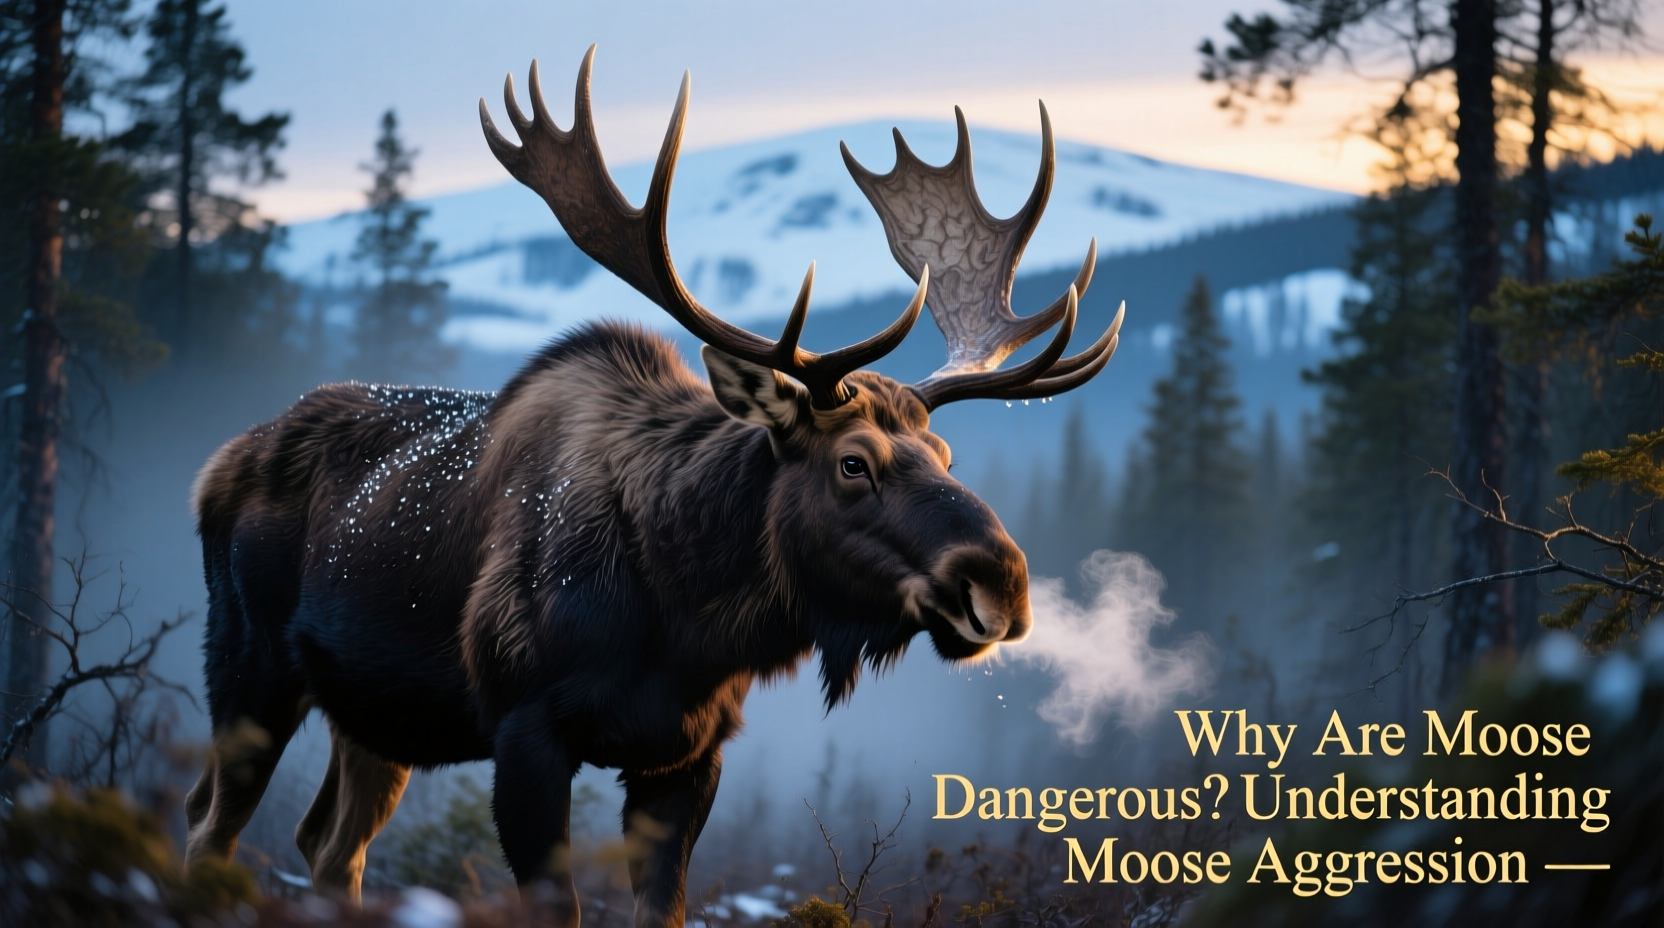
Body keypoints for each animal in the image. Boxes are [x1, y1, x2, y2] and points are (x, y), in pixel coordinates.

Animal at [181, 46, 1122, 927]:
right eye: (853, 461)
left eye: (947, 455)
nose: (1001, 582)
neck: (685, 618)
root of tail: (217, 465)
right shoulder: (526, 725)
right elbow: (553, 902)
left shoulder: (689, 752)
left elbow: (662, 907)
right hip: (250, 664)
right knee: (209, 827)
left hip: (378, 714)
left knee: (326, 844)